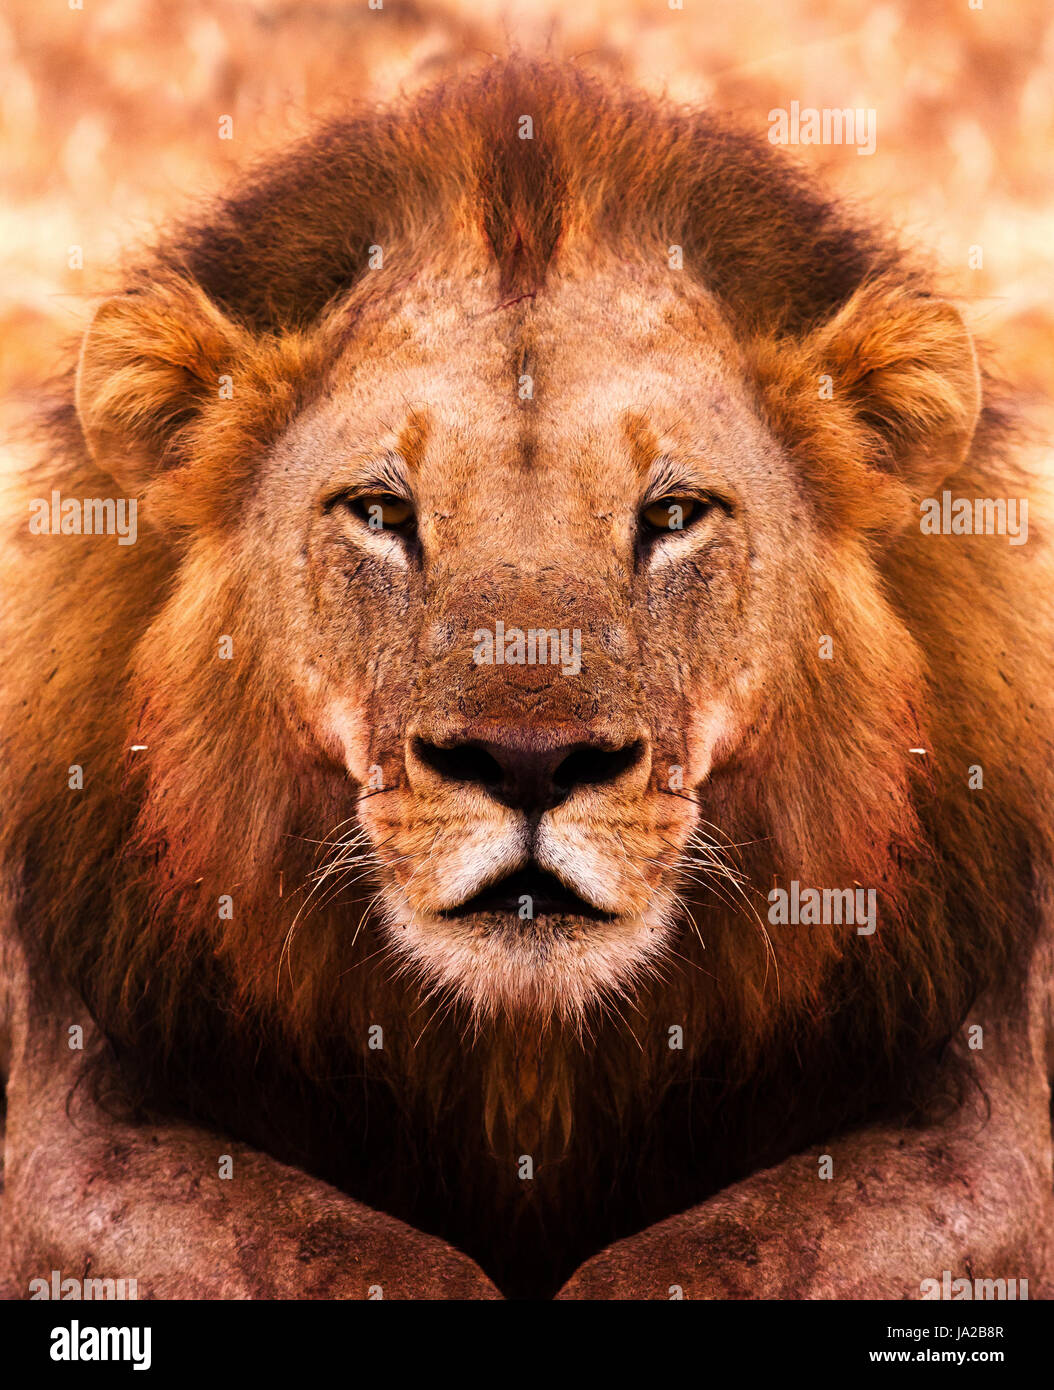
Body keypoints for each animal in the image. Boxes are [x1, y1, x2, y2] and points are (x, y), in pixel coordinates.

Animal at [1, 61, 1052, 1301]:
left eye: (674, 515)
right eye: (382, 512)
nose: (529, 763)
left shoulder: (985, 1114)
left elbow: (708, 1255)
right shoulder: (70, 1111)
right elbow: (351, 1254)